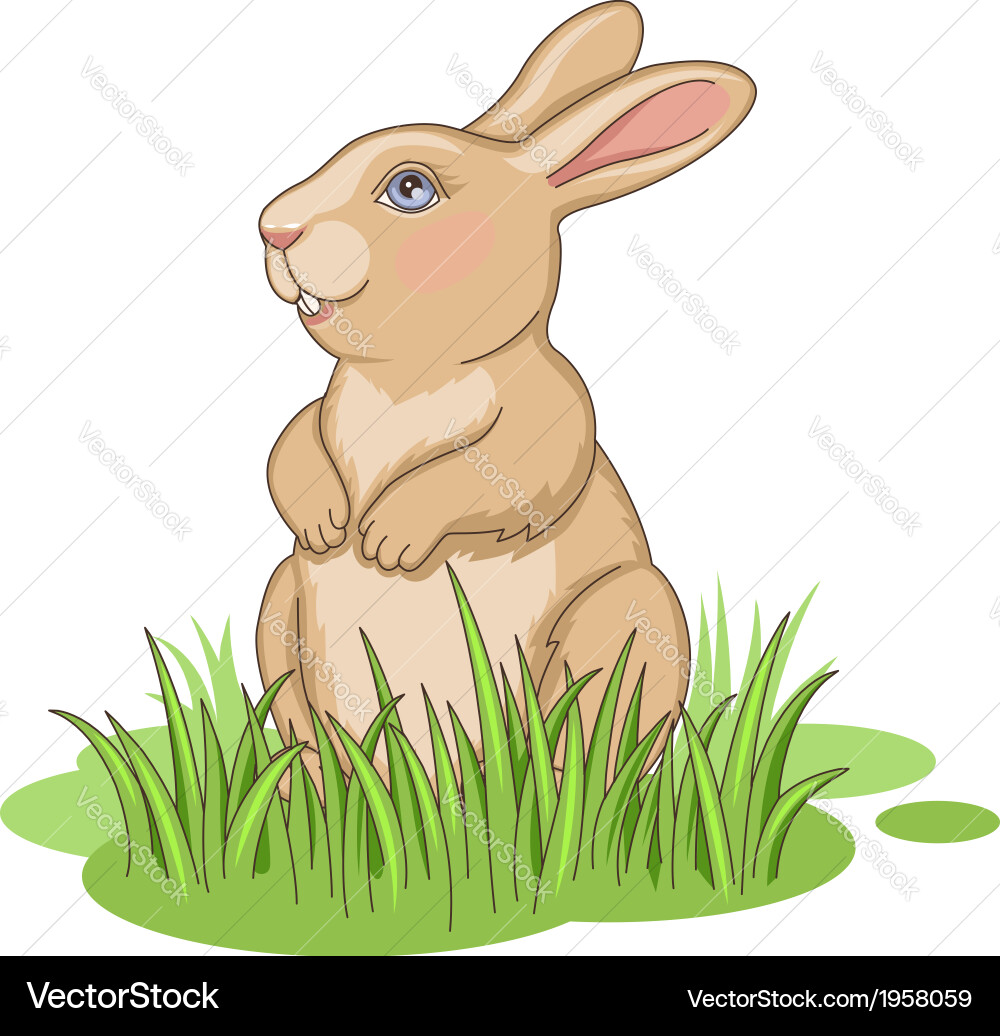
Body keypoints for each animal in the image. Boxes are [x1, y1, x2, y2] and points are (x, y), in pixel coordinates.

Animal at [255, 1, 755, 790]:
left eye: (410, 190)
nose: (273, 228)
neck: (415, 377)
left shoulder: (549, 422)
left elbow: (504, 477)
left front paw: (387, 538)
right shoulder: (322, 411)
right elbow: (292, 444)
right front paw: (329, 522)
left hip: (631, 615)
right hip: (279, 609)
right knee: (311, 740)